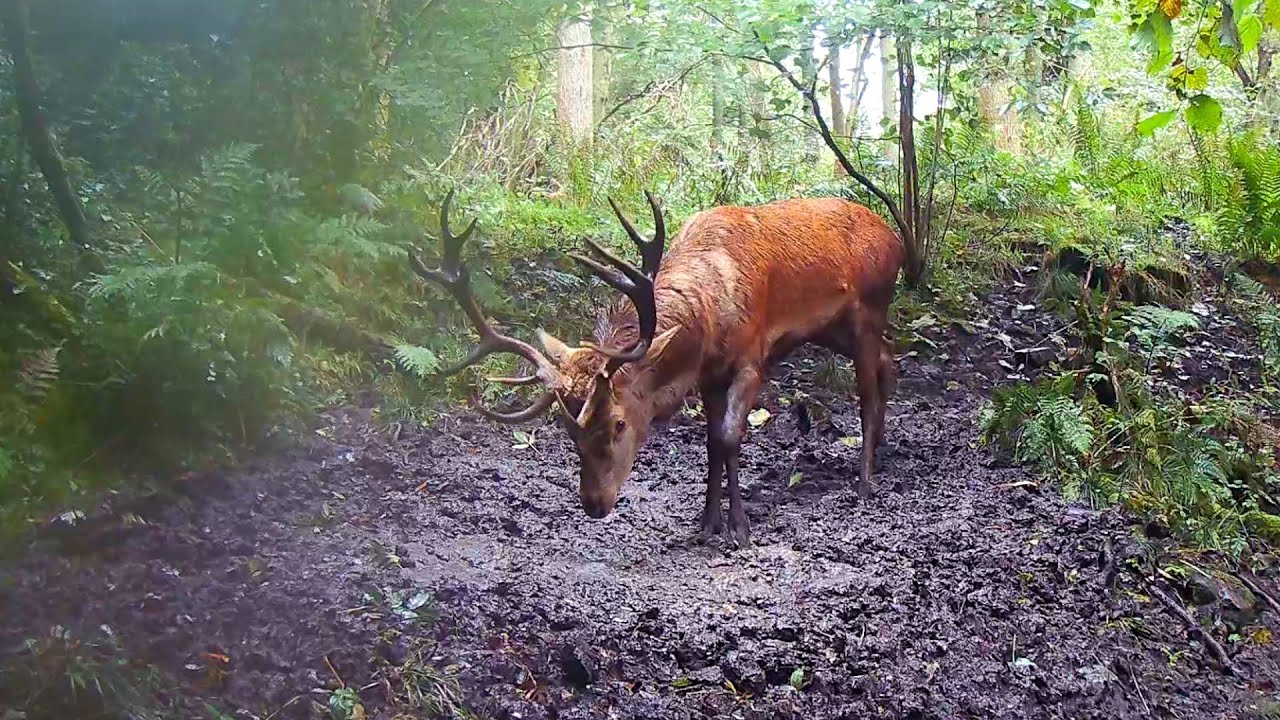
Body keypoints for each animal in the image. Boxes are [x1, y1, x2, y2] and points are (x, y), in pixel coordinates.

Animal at [410, 189, 903, 548]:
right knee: (888, 358)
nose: (594, 503)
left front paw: (740, 529)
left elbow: (729, 437)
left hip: (868, 309)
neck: (710, 319)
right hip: (836, 328)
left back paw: (865, 479)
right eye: (568, 430)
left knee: (866, 389)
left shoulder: (751, 359)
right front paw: (707, 523)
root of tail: (896, 238)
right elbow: (711, 443)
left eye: (619, 423)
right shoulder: (708, 376)